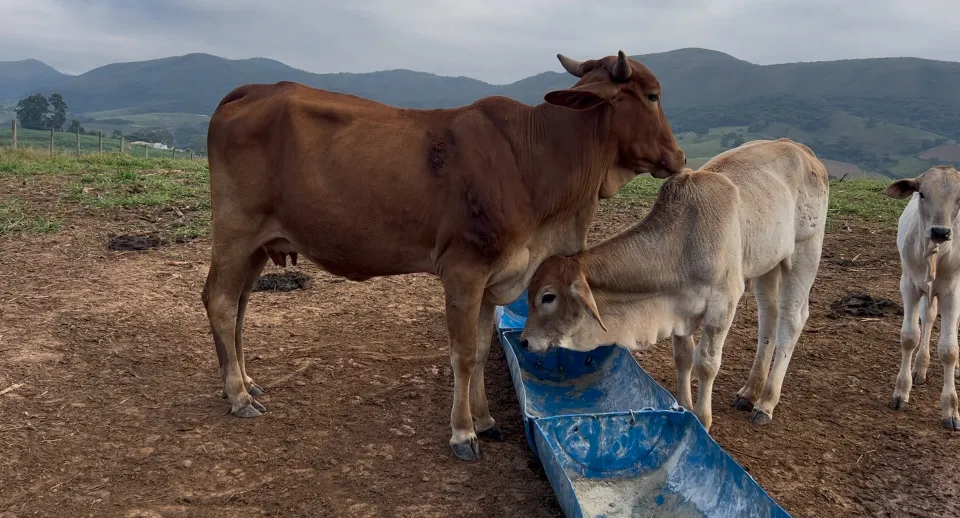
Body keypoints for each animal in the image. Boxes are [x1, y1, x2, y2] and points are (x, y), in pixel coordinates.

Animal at [201, 50, 687, 461]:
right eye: (653, 95)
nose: (680, 155)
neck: (536, 162)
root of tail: (250, 90)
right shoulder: (463, 272)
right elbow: (463, 353)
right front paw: (463, 433)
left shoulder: (495, 279)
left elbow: (485, 346)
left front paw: (485, 419)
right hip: (236, 232)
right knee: (221, 302)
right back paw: (238, 396)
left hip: (261, 243)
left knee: (239, 305)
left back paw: (245, 383)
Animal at [519, 138, 829, 431]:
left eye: (548, 297)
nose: (524, 341)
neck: (683, 238)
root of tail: (802, 150)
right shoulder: (679, 306)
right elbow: (683, 357)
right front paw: (685, 407)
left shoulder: (724, 301)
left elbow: (706, 363)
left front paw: (702, 419)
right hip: (769, 264)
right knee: (769, 317)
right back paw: (749, 392)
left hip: (805, 252)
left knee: (791, 321)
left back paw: (765, 402)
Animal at [884, 165, 960, 431]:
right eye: (923, 194)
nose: (940, 231)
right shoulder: (909, 284)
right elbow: (910, 337)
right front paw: (900, 393)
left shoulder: (952, 291)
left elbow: (949, 349)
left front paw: (950, 410)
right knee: (928, 317)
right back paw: (920, 367)